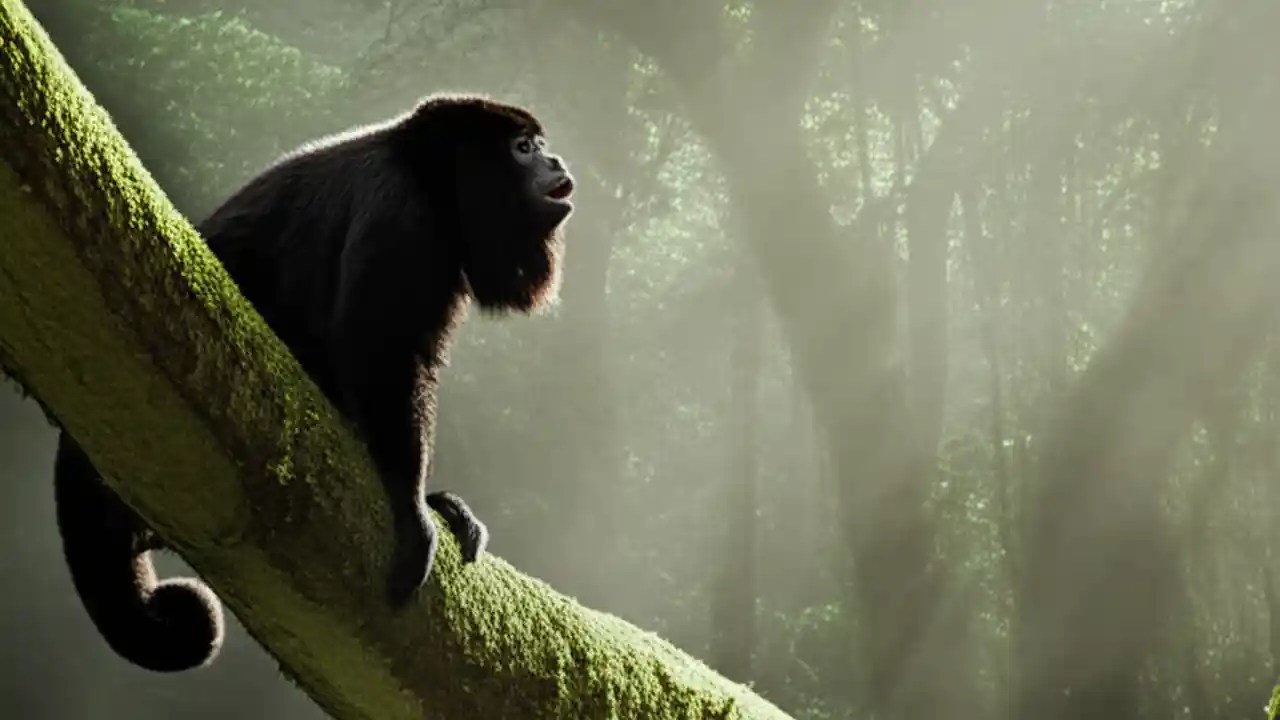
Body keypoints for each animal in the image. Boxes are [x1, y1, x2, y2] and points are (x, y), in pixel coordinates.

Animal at [51, 94, 576, 673]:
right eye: (524, 148)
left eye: (540, 145)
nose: (555, 160)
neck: (434, 179)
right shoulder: (401, 217)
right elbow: (379, 353)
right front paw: (413, 507)